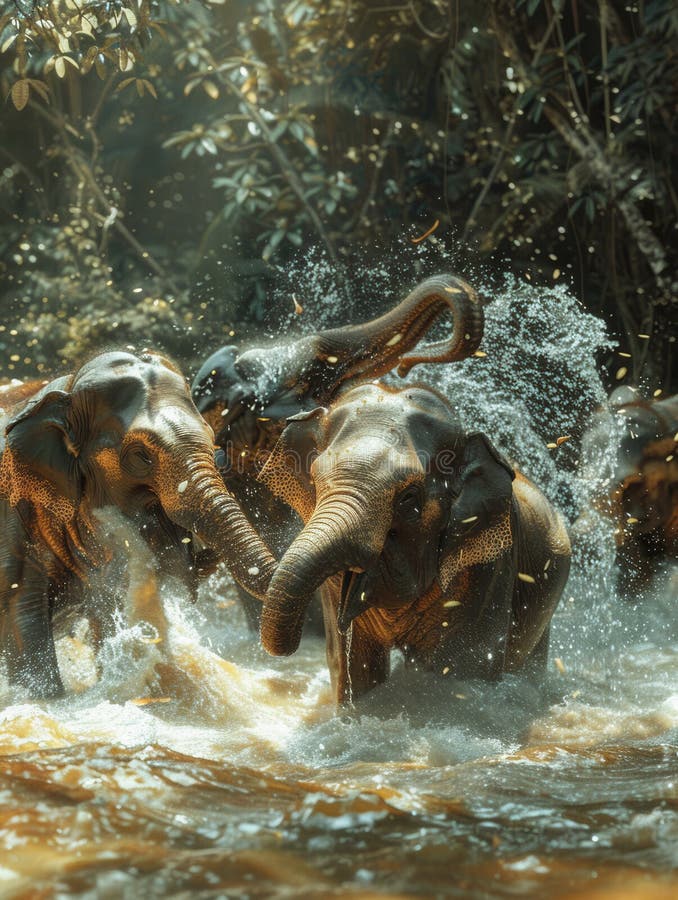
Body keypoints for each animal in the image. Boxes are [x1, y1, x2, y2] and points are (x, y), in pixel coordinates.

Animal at [0, 350, 277, 698]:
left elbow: (106, 607)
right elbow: (21, 609)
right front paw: (49, 699)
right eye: (140, 456)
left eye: (212, 438)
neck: (67, 387)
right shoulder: (11, 518)